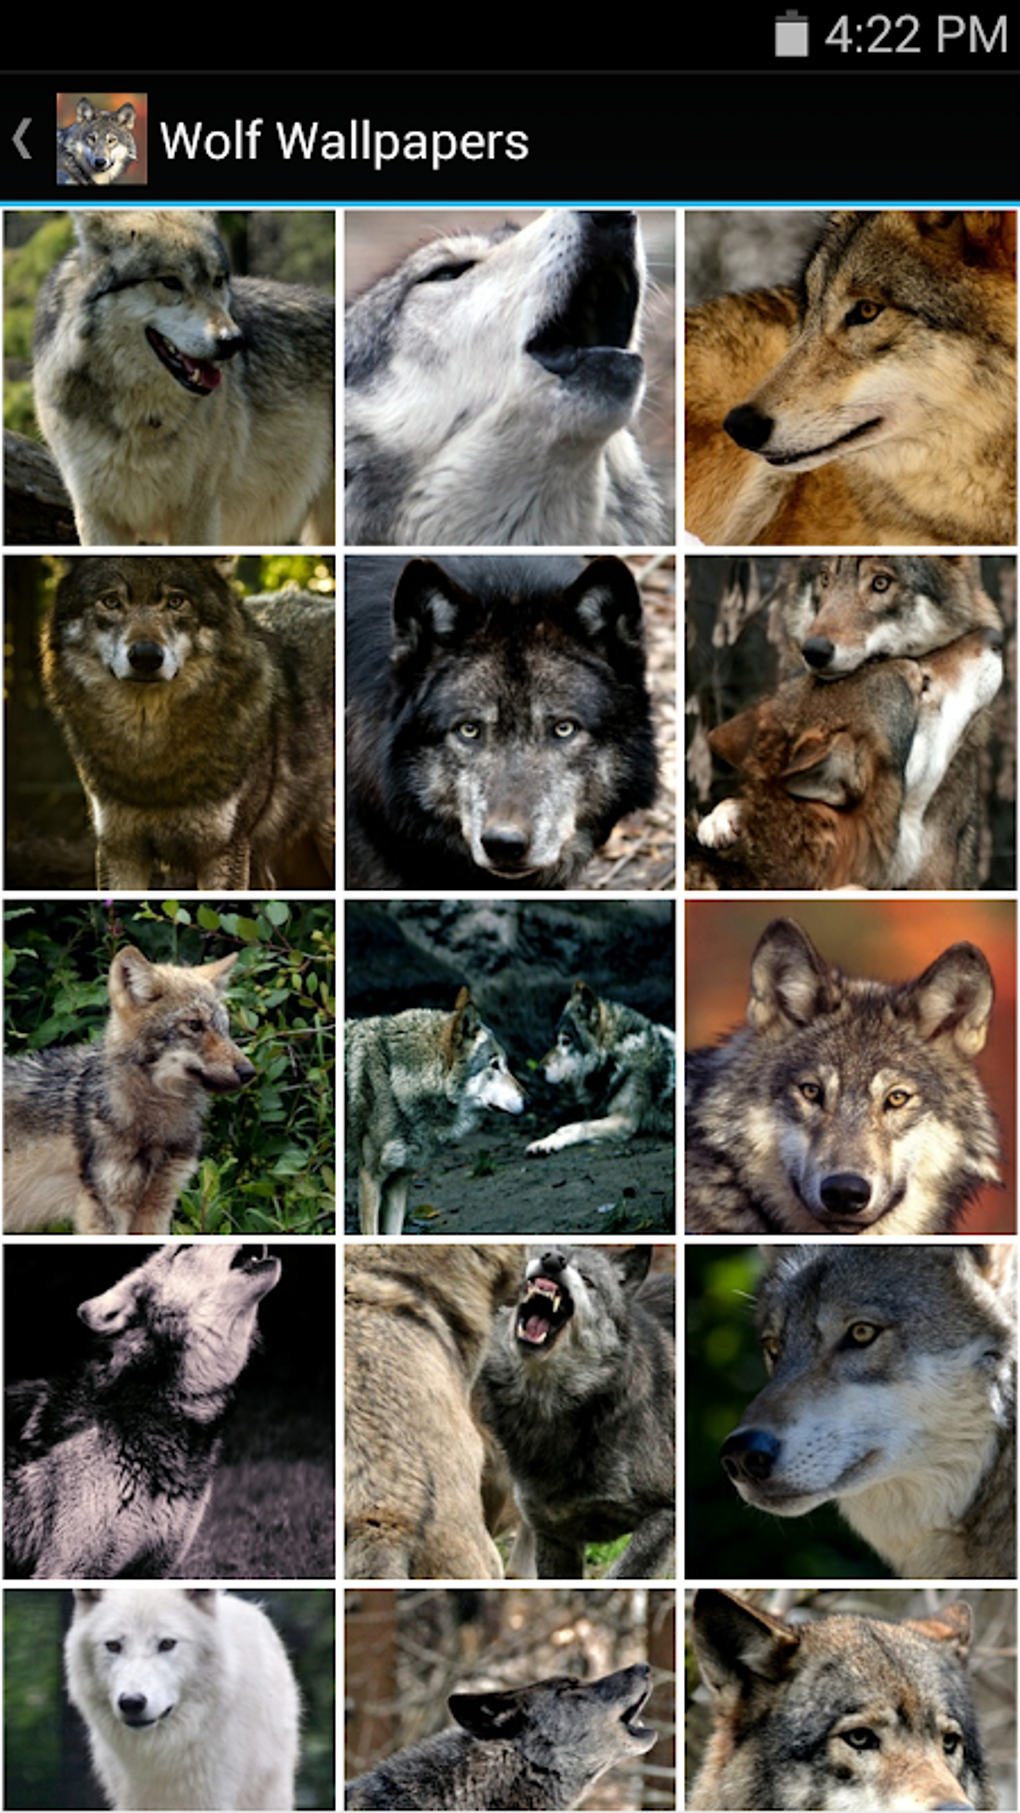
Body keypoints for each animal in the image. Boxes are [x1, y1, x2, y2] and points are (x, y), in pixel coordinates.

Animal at [4, 945, 254, 1236]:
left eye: (226, 1028)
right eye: (194, 1025)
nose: (249, 1072)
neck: (157, 1124)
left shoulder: (159, 1205)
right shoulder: (107, 1209)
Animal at [33, 209, 334, 544]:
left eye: (217, 281)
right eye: (170, 282)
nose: (233, 341)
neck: (141, 418)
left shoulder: (197, 514)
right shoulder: (97, 516)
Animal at [41, 556, 335, 890]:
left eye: (176, 602)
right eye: (111, 602)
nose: (146, 656)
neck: (150, 753)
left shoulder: (223, 854)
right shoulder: (120, 851)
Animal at [346, 988, 526, 1235]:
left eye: (504, 1065)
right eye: (495, 1065)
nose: (530, 1099)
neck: (394, 1082)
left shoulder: (399, 1181)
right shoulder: (370, 1179)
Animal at [526, 980, 675, 1155]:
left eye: (566, 1041)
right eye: (556, 1041)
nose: (538, 1071)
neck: (616, 1058)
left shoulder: (624, 1121)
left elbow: (577, 1127)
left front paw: (547, 1143)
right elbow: (571, 1125)